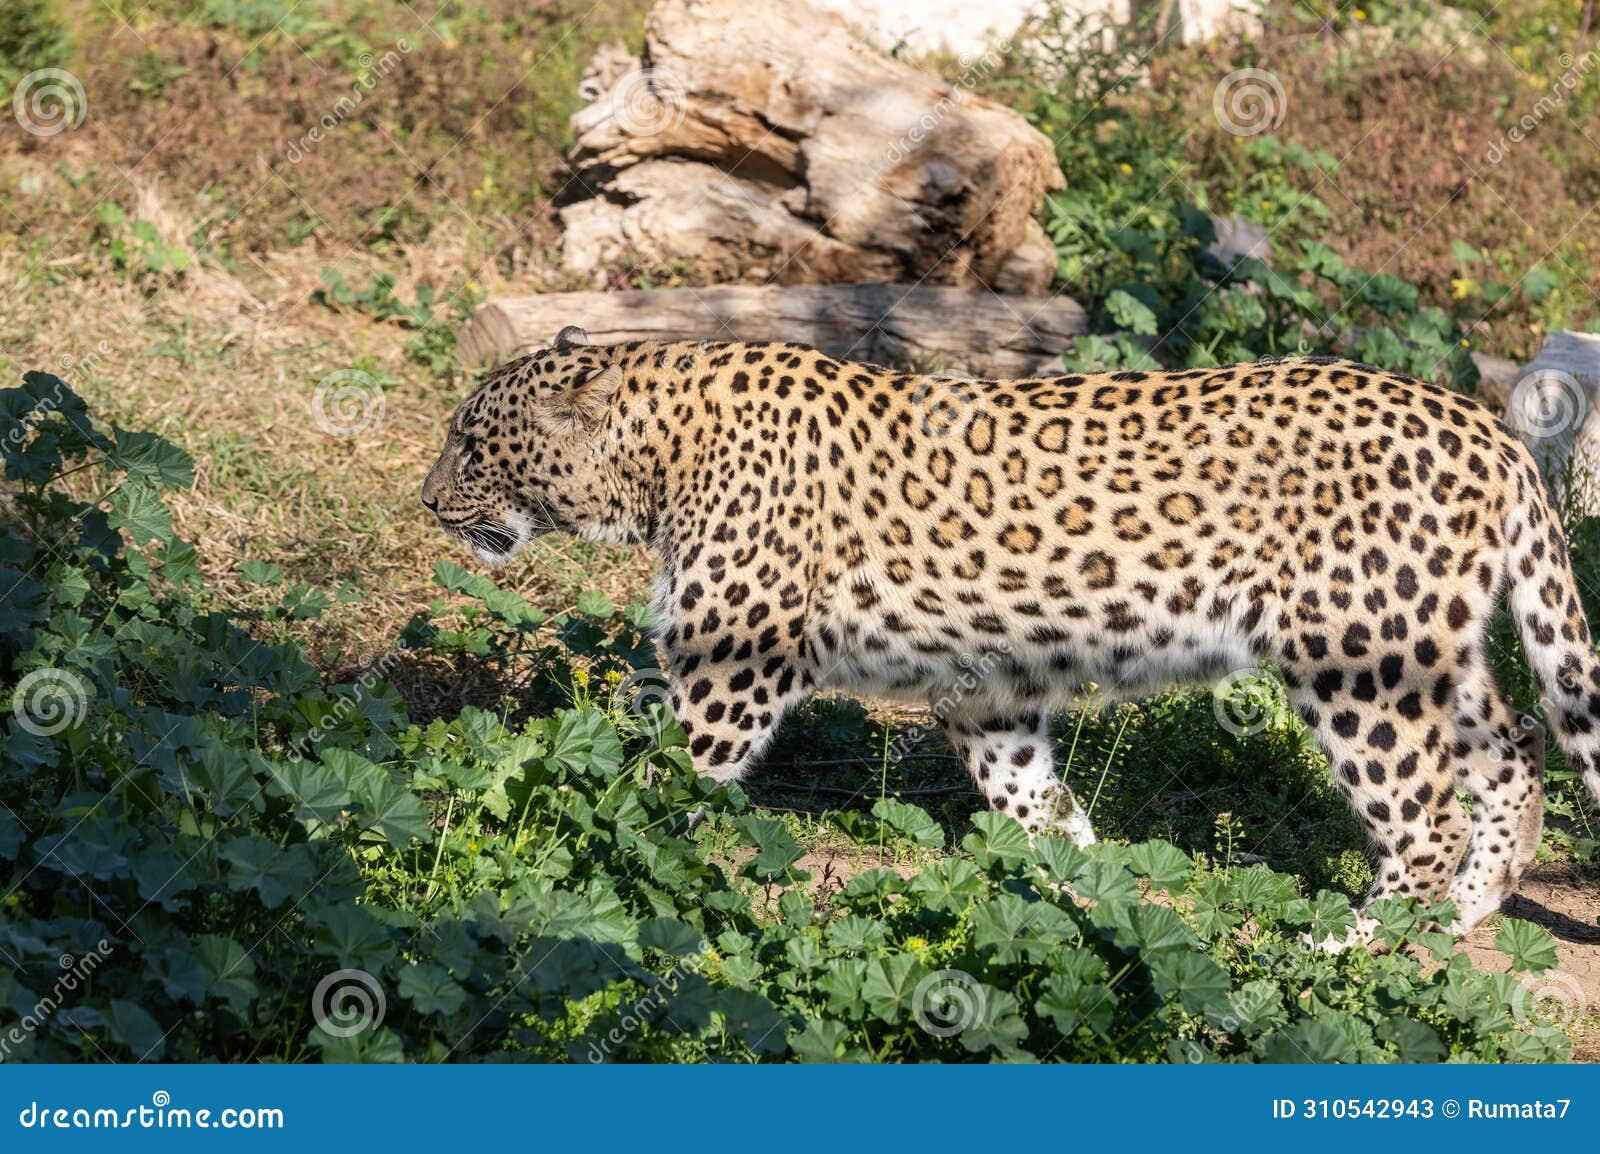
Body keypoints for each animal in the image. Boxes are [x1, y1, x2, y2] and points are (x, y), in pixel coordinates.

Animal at [422, 325, 1600, 937]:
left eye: (472, 443)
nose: (427, 500)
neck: (659, 459)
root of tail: (1487, 426)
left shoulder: (731, 668)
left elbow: (644, 782)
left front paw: (561, 851)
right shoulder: (985, 688)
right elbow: (1032, 797)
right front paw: (1087, 888)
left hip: (1359, 662)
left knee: (1424, 812)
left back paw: (1355, 939)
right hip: (1427, 651)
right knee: (1515, 746)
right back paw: (1468, 910)